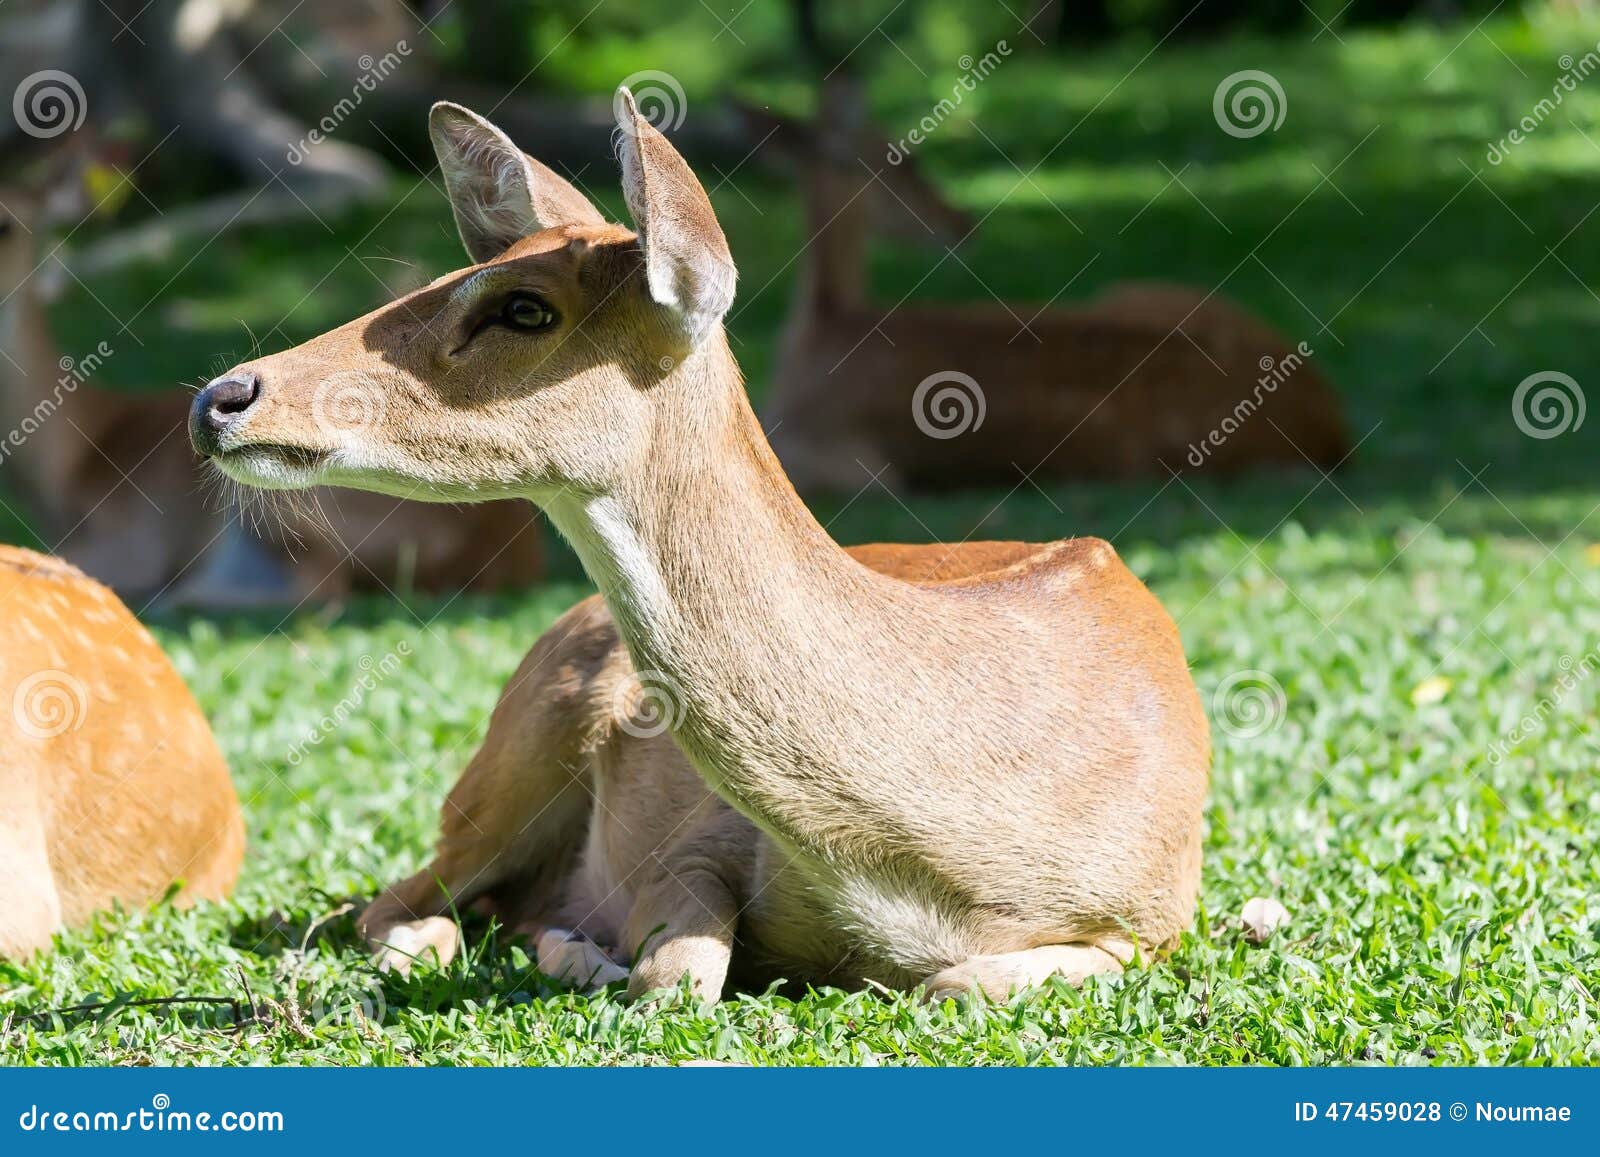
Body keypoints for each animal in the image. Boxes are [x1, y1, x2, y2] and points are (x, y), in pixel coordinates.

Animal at [190, 92, 1210, 1000]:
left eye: (524, 307)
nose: (222, 395)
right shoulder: (698, 841)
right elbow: (680, 977)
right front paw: (603, 956)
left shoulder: (1151, 916)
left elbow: (951, 985)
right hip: (520, 744)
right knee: (397, 907)